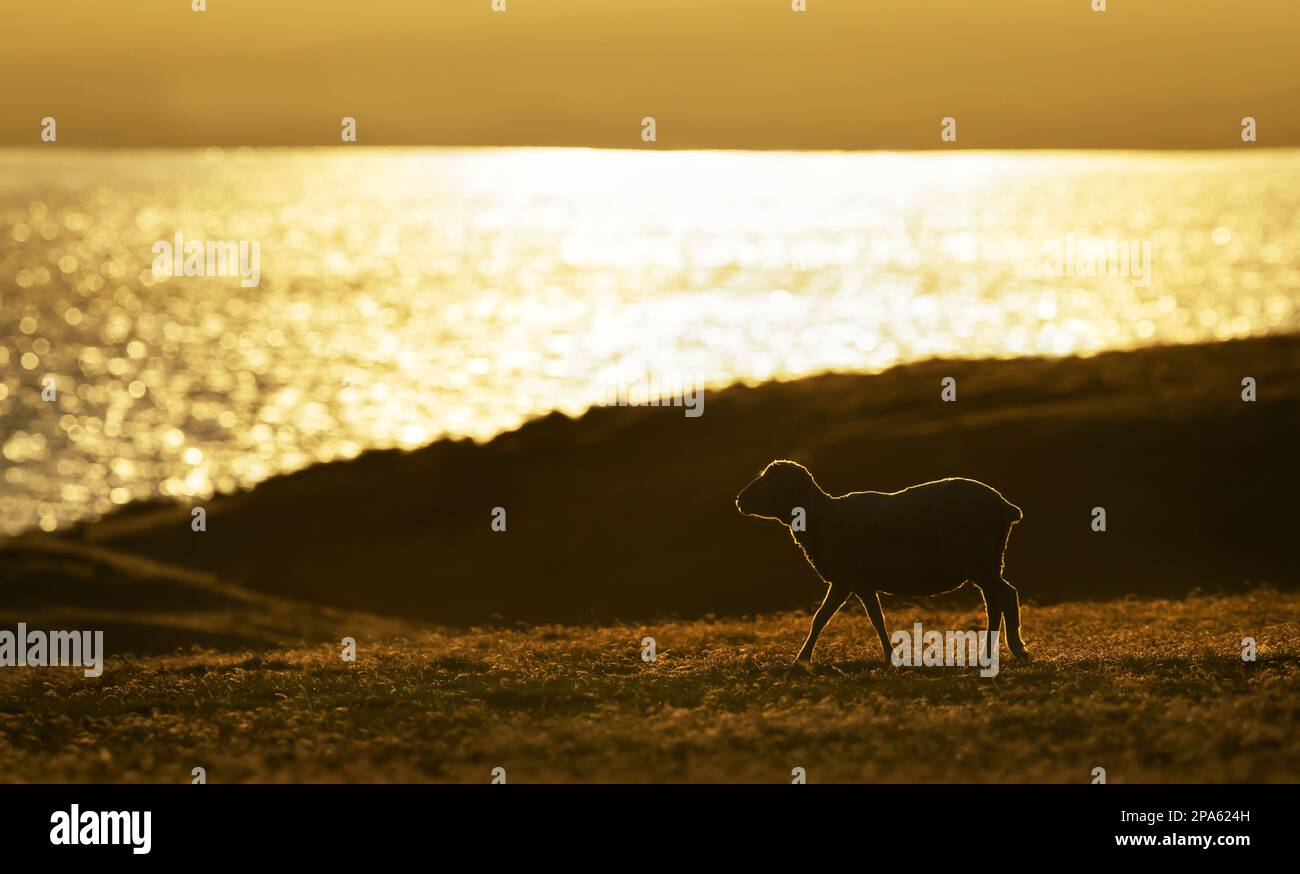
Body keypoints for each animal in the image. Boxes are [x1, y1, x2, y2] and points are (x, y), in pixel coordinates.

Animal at [735, 460, 1027, 669]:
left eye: (771, 481)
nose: (739, 500)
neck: (821, 518)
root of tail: (1007, 507)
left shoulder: (847, 579)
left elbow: (827, 619)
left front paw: (802, 660)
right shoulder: (858, 583)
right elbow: (869, 619)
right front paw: (889, 657)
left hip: (983, 562)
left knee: (1006, 596)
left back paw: (1017, 649)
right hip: (986, 565)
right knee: (996, 601)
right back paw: (989, 653)